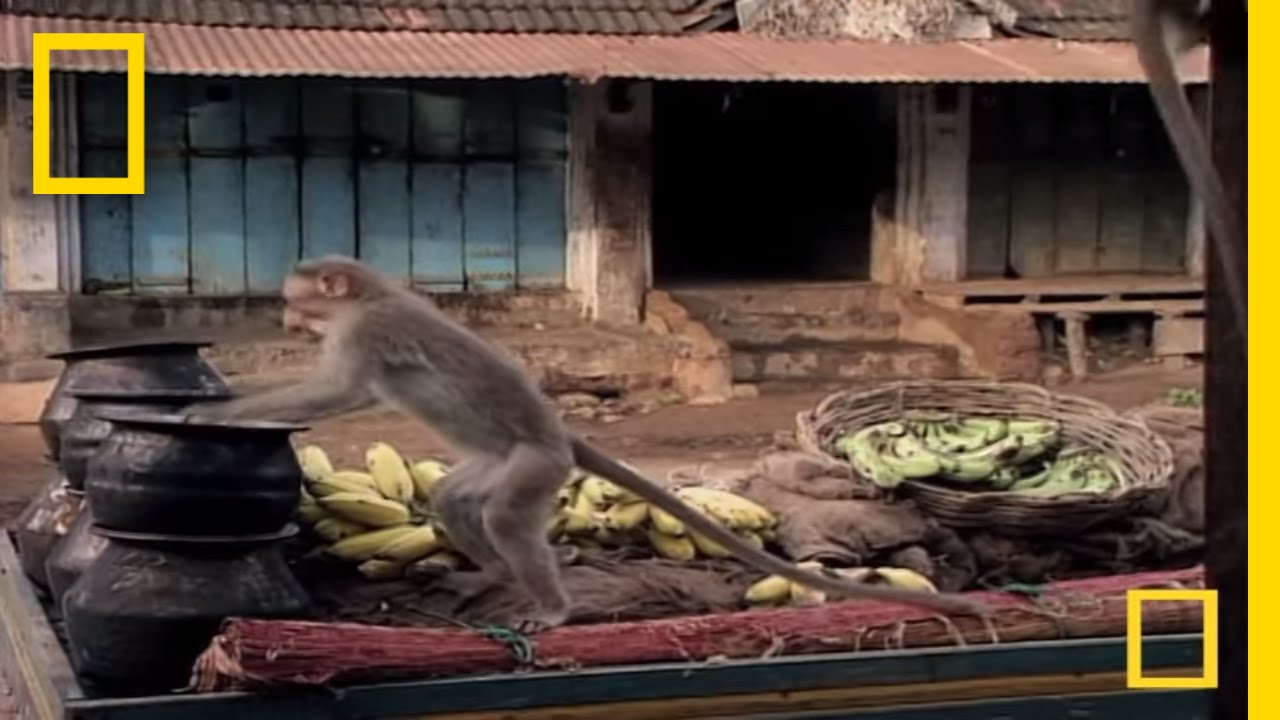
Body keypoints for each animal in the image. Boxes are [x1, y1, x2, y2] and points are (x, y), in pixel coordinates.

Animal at [190, 256, 992, 632]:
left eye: (295, 305)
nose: (285, 323)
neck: (370, 297)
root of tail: (560, 437)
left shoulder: (366, 333)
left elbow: (336, 393)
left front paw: (212, 412)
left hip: (533, 466)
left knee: (508, 515)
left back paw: (550, 606)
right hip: (501, 461)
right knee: (457, 498)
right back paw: (491, 573)